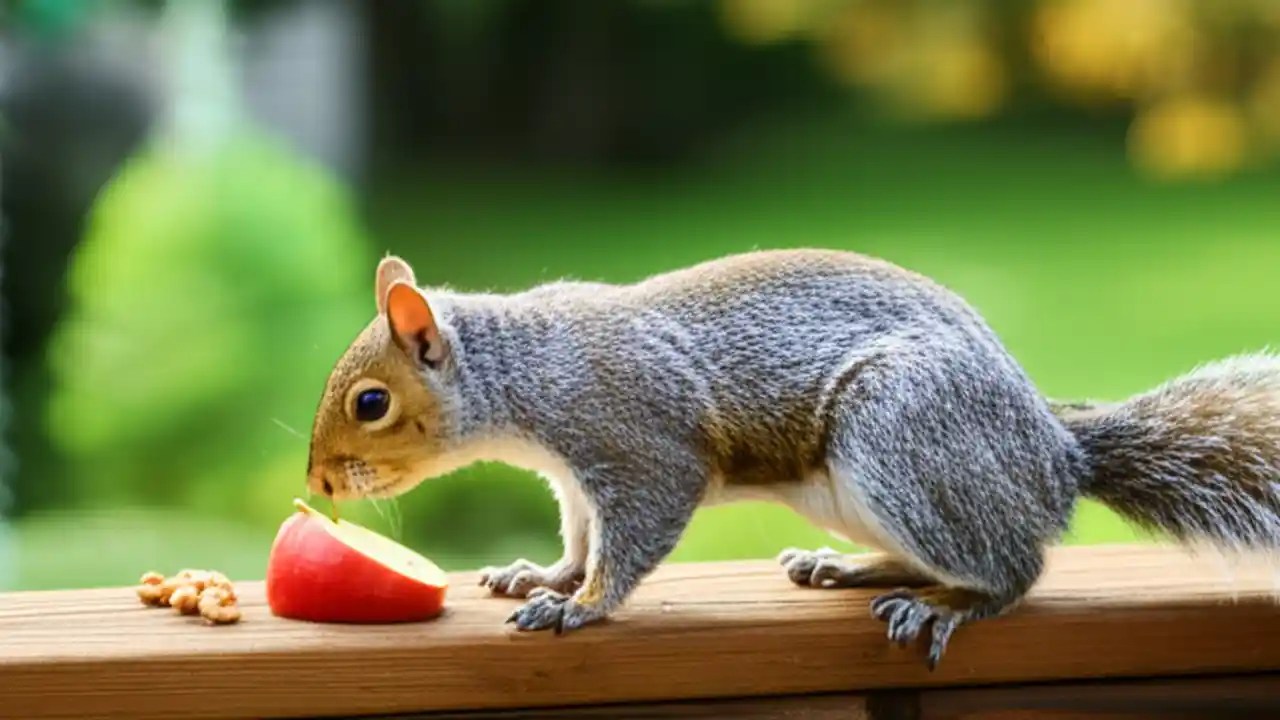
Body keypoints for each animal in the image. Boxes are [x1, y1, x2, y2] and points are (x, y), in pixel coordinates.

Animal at [306, 248, 1280, 668]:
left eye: (371, 402)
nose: (316, 480)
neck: (525, 372)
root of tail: (1054, 456)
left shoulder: (636, 441)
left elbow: (631, 538)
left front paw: (578, 608)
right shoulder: (576, 480)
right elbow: (581, 537)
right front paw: (541, 575)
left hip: (902, 437)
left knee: (1014, 566)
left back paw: (947, 605)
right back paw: (850, 568)